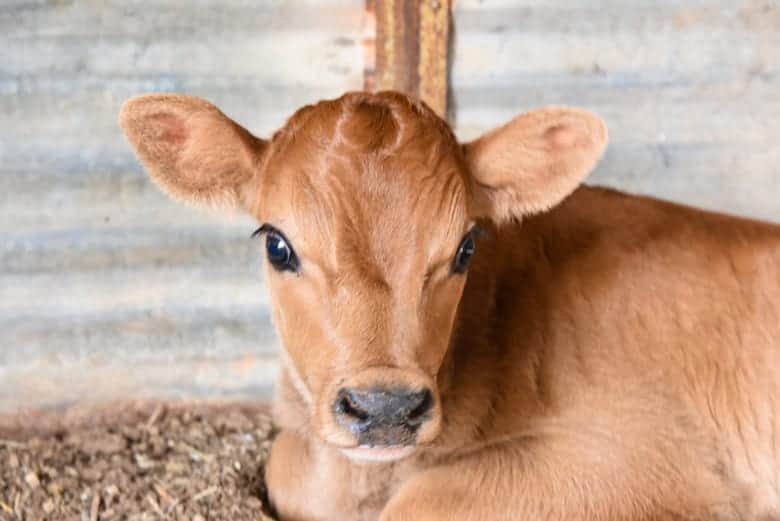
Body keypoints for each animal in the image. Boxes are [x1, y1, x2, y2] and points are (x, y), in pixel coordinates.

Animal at [120, 91, 780, 521]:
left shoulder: (644, 464)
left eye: (465, 247)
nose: (385, 409)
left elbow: (421, 502)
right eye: (277, 245)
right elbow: (285, 467)